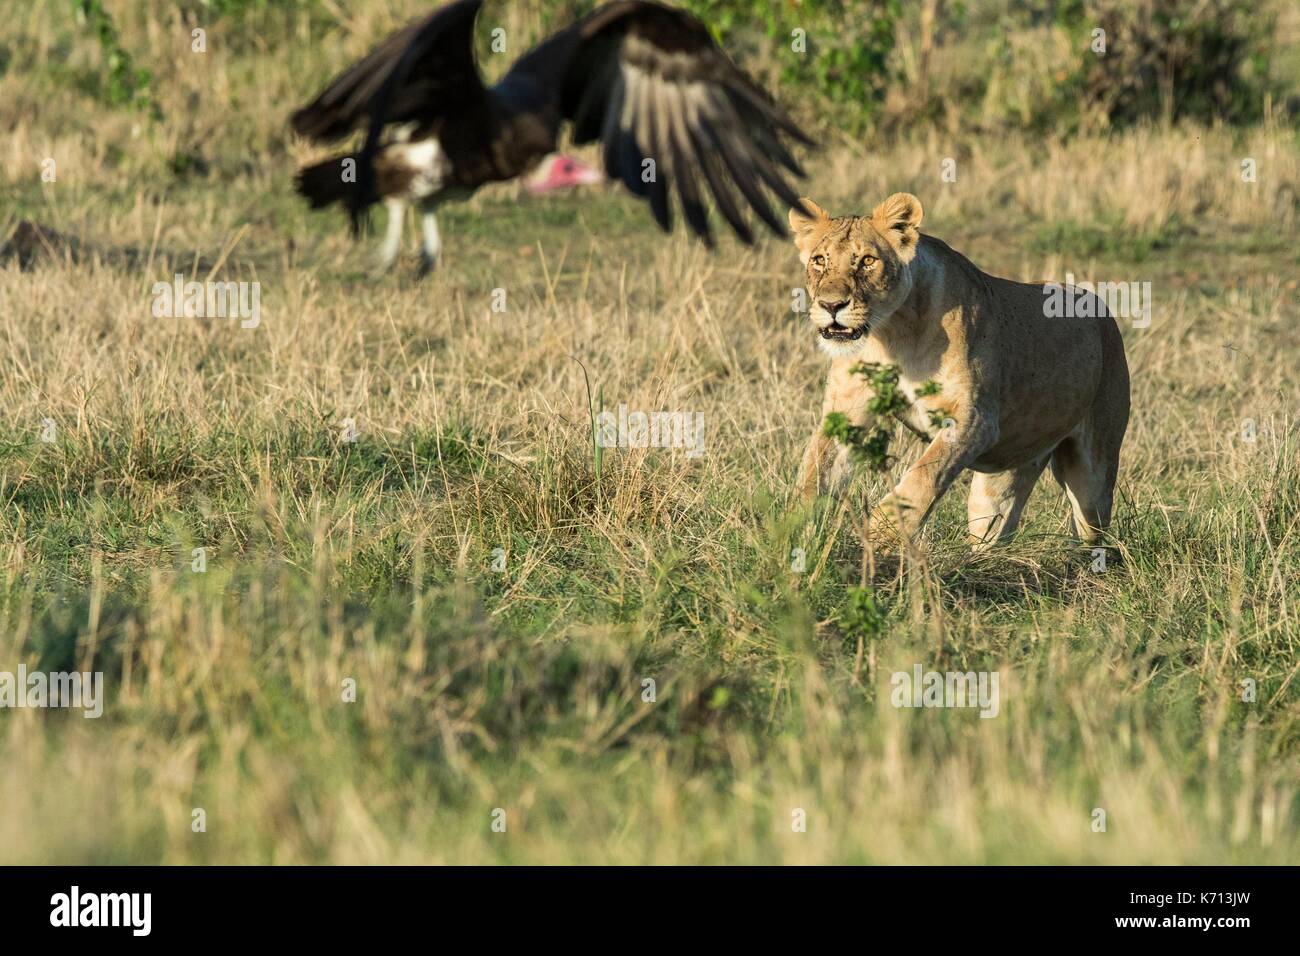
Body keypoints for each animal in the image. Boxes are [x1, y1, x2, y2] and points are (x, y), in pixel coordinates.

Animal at [791, 193, 1130, 549]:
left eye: (868, 261)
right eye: (819, 260)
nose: (831, 306)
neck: (890, 333)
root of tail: (1101, 308)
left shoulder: (974, 419)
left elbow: (924, 475)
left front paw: (883, 534)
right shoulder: (846, 411)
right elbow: (816, 472)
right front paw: (794, 533)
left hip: (1094, 470)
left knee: (1095, 527)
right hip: (1003, 477)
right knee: (996, 527)